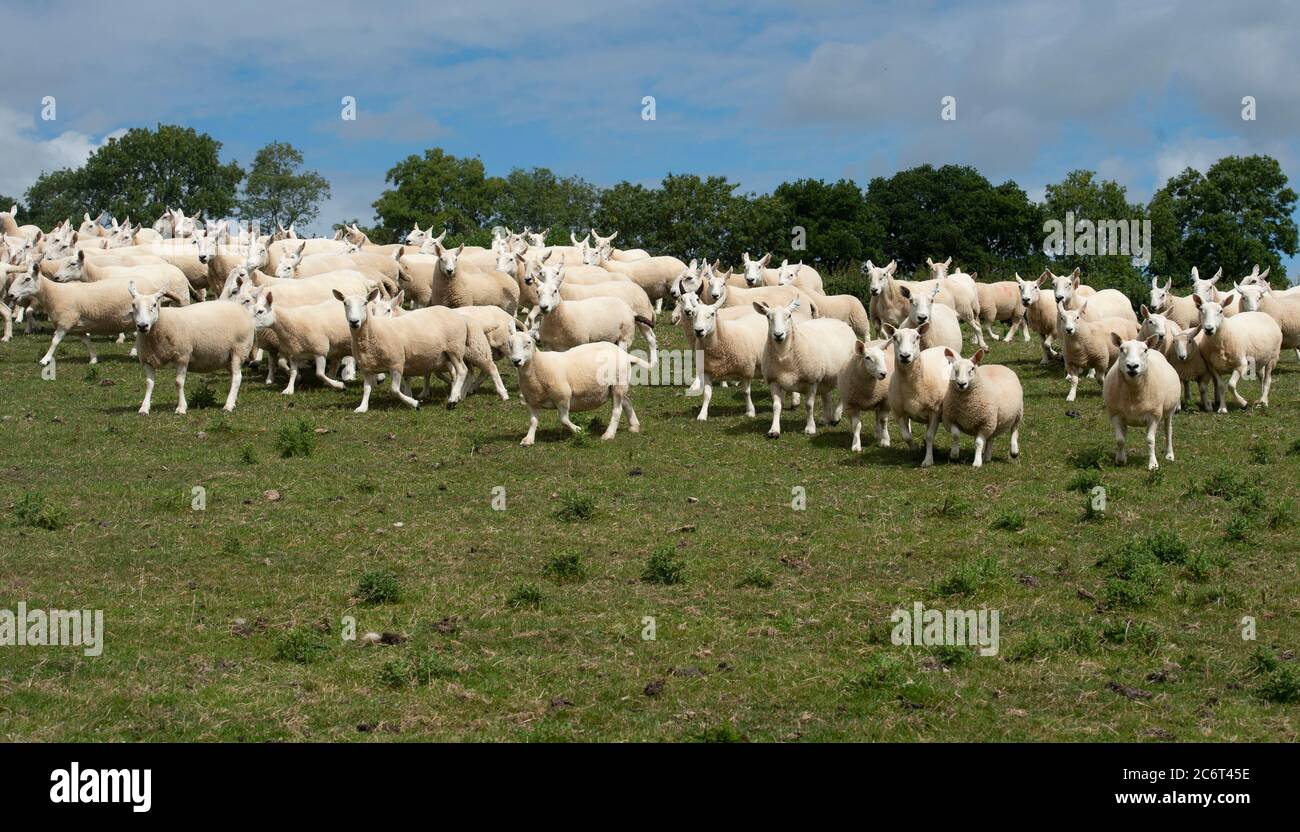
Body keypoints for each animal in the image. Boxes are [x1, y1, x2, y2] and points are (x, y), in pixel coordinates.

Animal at [128, 285, 255, 415]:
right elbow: (149, 383)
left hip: (239, 349)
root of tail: (240, 308)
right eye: (133, 305)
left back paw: (228, 405)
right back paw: (233, 402)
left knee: (237, 377)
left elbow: (179, 382)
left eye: (154, 304)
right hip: (227, 357)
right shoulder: (147, 359)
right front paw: (144, 408)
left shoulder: (182, 356)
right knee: (234, 375)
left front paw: (181, 407)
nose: (142, 326)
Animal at [508, 325, 649, 445]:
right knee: (627, 402)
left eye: (528, 342)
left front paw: (578, 430)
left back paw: (608, 434)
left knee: (617, 410)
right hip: (617, 386)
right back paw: (634, 426)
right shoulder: (531, 401)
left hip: (618, 383)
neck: (538, 367)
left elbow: (564, 420)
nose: (516, 361)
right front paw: (528, 439)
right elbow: (533, 421)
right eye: (510, 344)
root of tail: (626, 355)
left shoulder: (563, 396)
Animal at [754, 297, 857, 438]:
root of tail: (838, 321)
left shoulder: (812, 380)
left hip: (844, 373)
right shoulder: (773, 380)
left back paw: (836, 416)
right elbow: (776, 406)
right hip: (827, 376)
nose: (778, 334)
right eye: (768, 316)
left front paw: (810, 428)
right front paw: (774, 430)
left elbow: (809, 405)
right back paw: (826, 418)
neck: (784, 357)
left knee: (842, 395)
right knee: (826, 396)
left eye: (789, 315)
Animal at [883, 322, 951, 467]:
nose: (904, 356)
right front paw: (914, 449)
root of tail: (942, 347)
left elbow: (930, 436)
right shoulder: (898, 412)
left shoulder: (935, 411)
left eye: (917, 337)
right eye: (895, 338)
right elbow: (906, 436)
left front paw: (928, 460)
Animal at [1103, 334, 1181, 470]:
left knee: (1168, 430)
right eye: (1121, 349)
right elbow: (1120, 439)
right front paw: (1120, 460)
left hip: (1169, 410)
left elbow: (1150, 440)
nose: (1132, 366)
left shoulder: (1154, 416)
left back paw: (1169, 454)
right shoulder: (1115, 414)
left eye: (1144, 350)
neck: (1134, 391)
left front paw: (1153, 464)